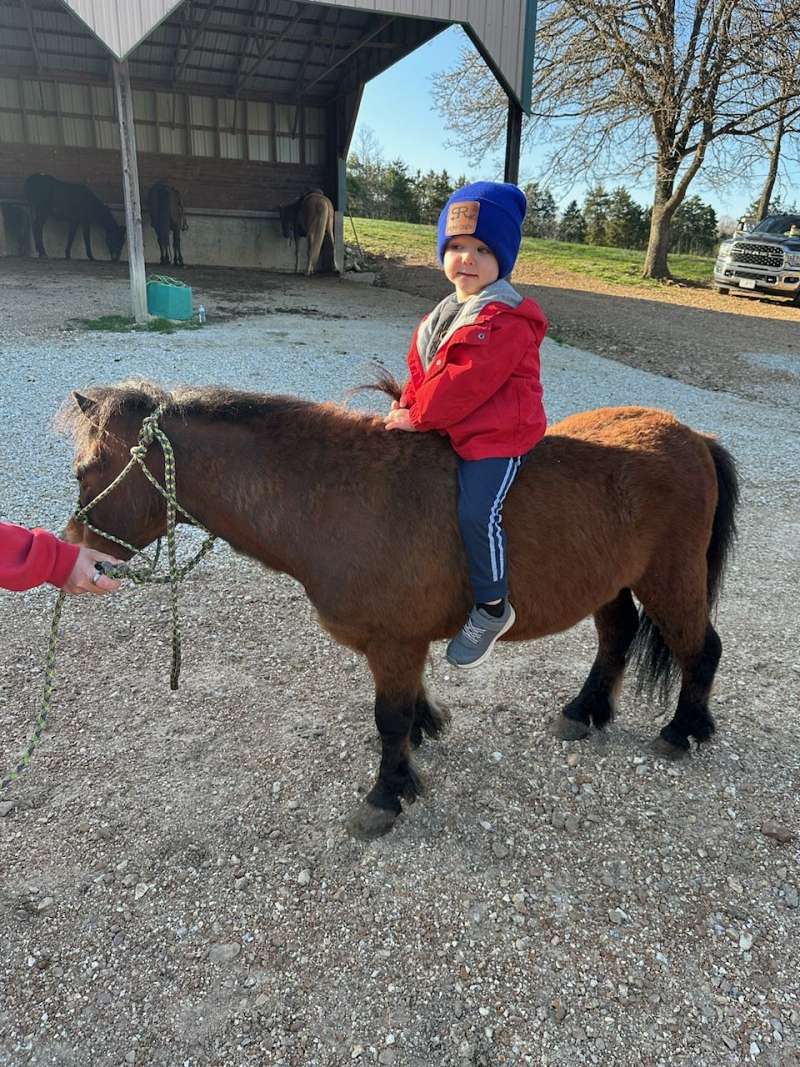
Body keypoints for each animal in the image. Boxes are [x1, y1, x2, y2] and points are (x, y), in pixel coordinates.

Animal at [58, 378, 739, 840]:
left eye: (85, 470)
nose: (75, 556)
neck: (338, 496)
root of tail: (692, 437)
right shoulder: (400, 645)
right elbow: (406, 707)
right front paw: (420, 737)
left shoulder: (394, 642)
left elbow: (388, 718)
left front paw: (386, 795)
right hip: (613, 582)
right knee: (617, 636)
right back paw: (587, 710)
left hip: (670, 579)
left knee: (700, 648)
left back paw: (683, 730)